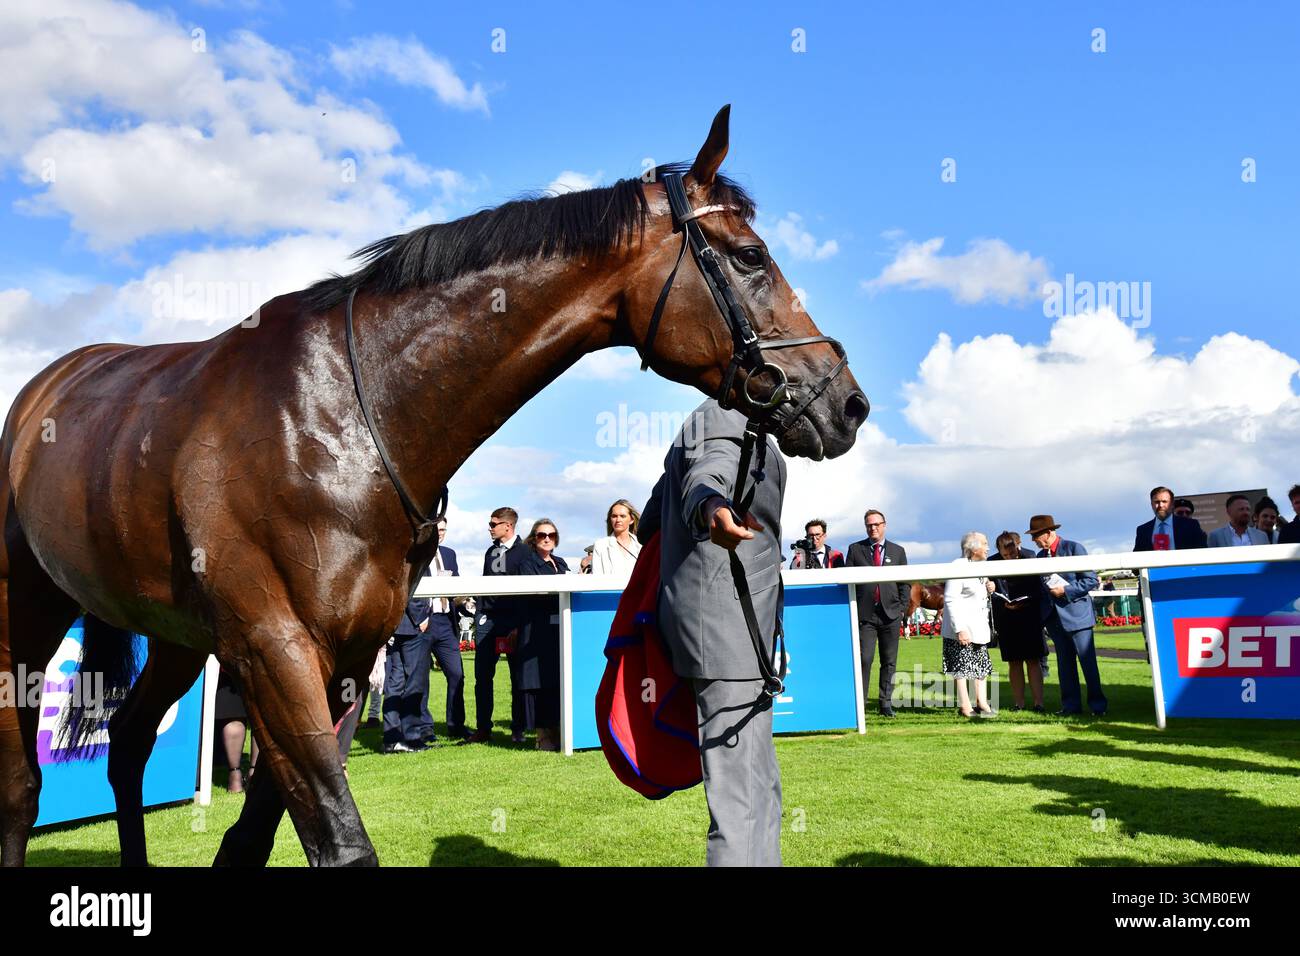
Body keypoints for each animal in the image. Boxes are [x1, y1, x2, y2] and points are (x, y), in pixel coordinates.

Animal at [0, 105, 868, 866]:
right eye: (749, 254)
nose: (845, 399)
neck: (344, 414)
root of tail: (46, 386)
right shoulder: (272, 649)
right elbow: (343, 843)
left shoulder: (346, 656)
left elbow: (255, 838)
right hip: (29, 617)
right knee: (22, 783)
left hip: (179, 635)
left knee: (126, 746)